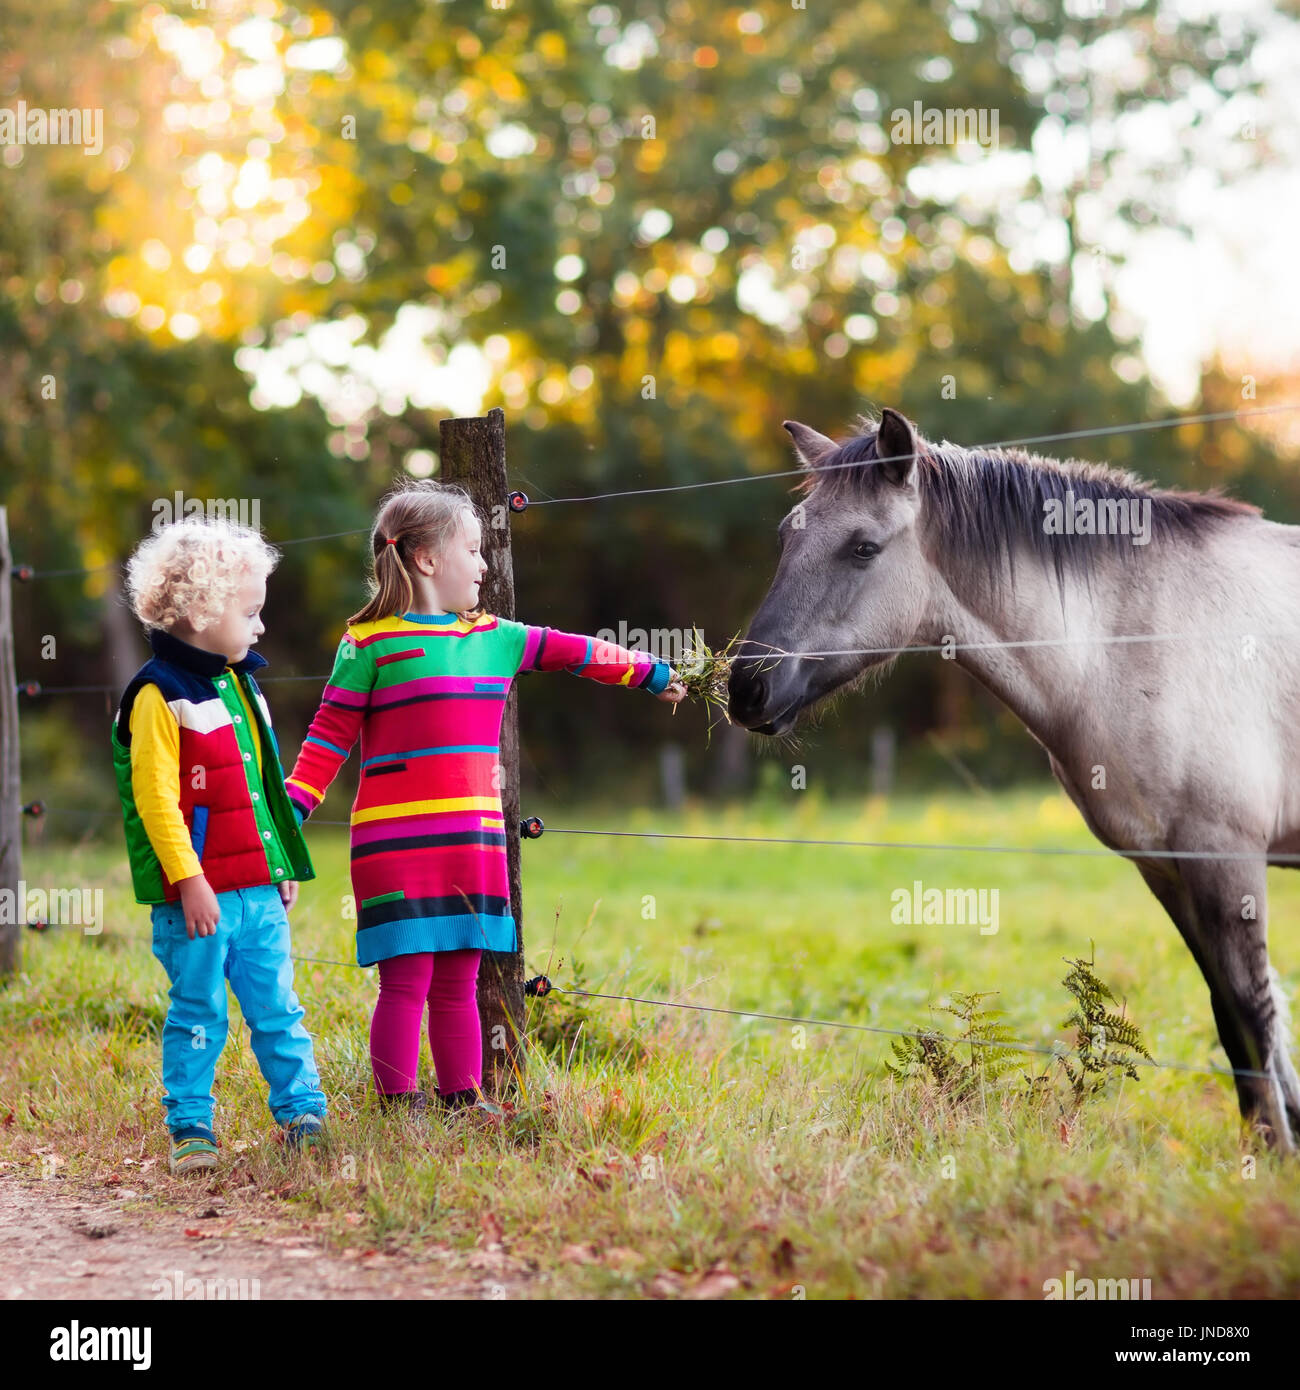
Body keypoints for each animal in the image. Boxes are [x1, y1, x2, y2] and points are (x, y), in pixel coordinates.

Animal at [727, 407, 1300, 1150]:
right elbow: (1235, 1019)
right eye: (783, 538)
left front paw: (1275, 1158)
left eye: (862, 548)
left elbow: (1257, 1019)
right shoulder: (1169, 868)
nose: (747, 688)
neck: (1135, 639)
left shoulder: (1225, 860)